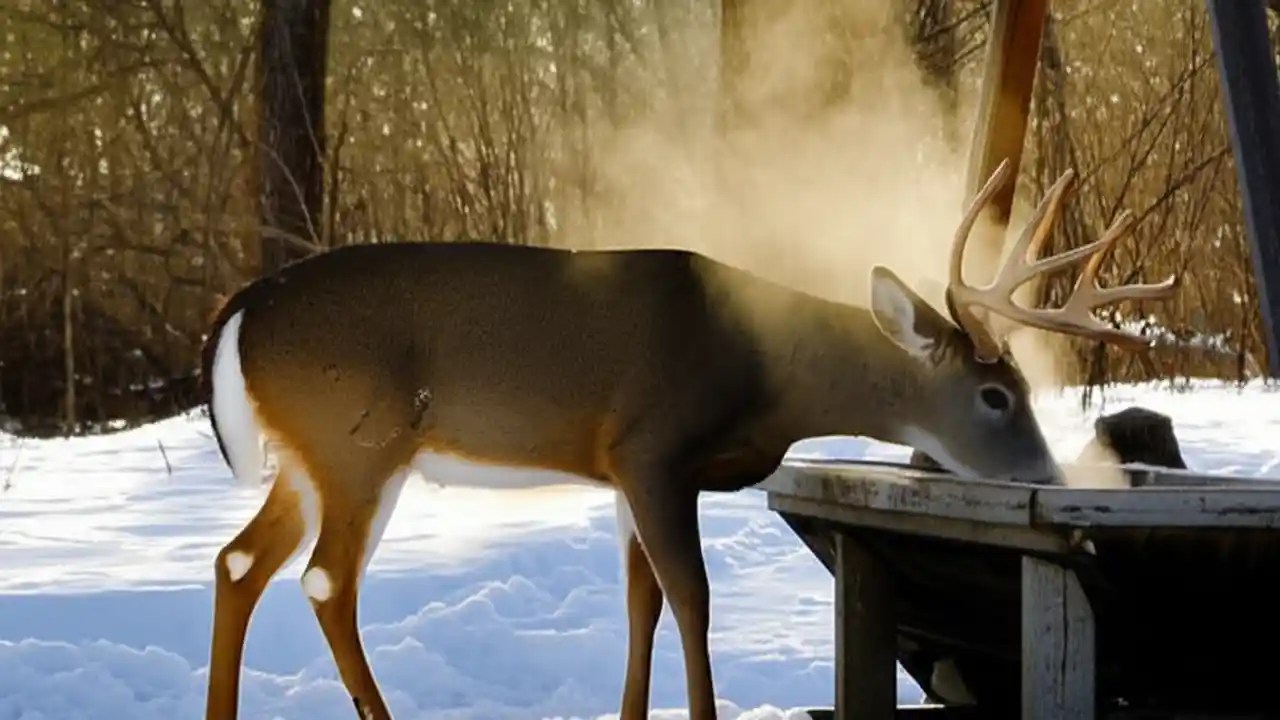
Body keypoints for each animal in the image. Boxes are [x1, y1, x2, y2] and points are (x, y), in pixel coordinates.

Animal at [198, 158, 1176, 720]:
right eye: (994, 394)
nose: (1053, 476)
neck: (762, 375)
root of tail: (236, 313)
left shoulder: (626, 472)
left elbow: (644, 603)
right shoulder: (653, 448)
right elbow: (695, 599)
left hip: (309, 457)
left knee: (239, 562)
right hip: (356, 442)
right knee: (325, 581)